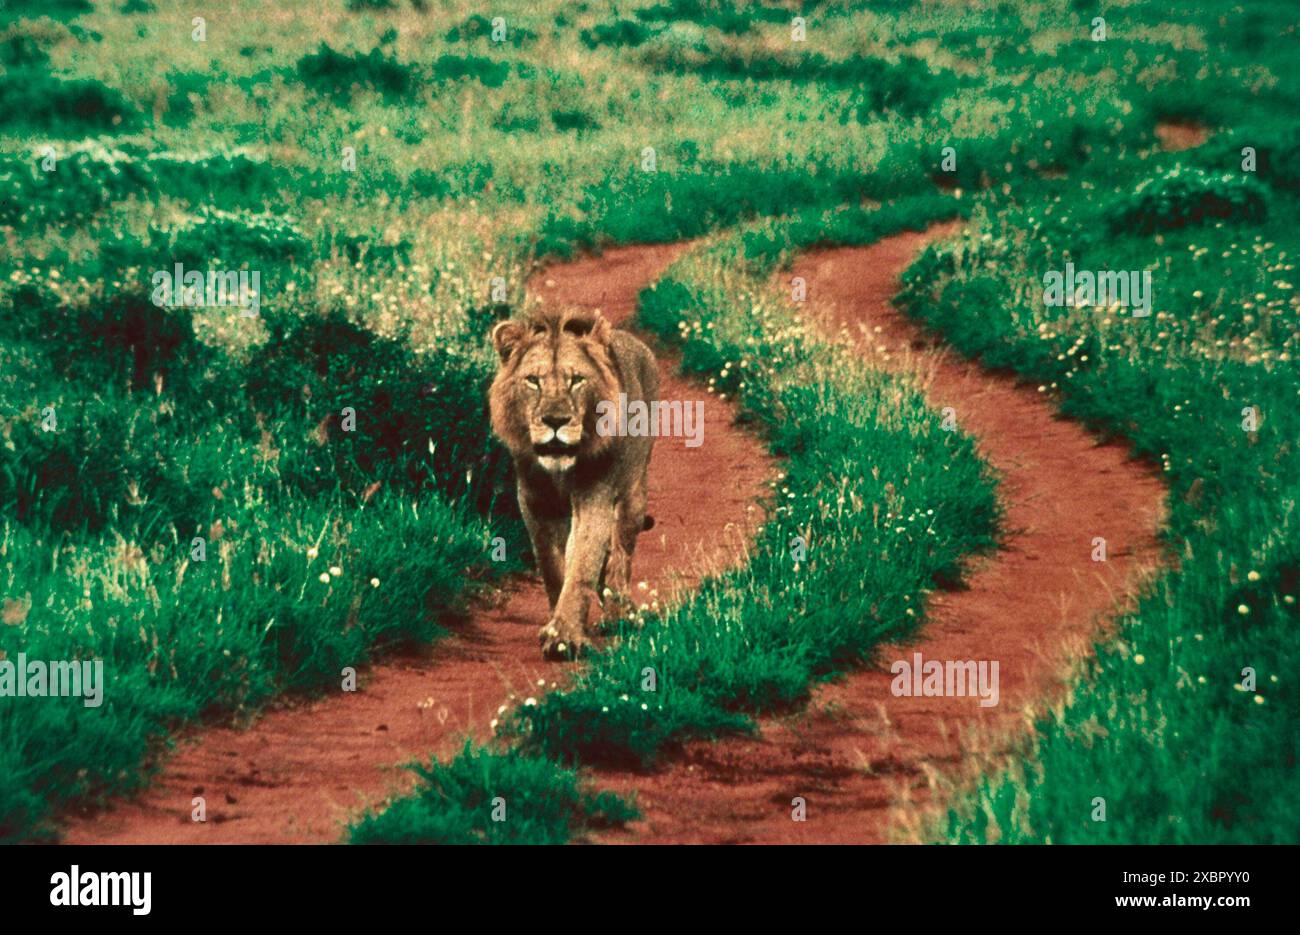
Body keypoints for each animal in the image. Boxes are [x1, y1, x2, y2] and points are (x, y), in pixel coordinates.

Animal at [489, 306, 658, 659]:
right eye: (533, 381)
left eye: (577, 380)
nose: (555, 420)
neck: (559, 471)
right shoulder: (533, 500)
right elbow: (553, 565)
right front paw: (559, 621)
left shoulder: (595, 495)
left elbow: (582, 562)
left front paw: (564, 637)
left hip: (634, 493)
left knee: (621, 556)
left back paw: (620, 614)